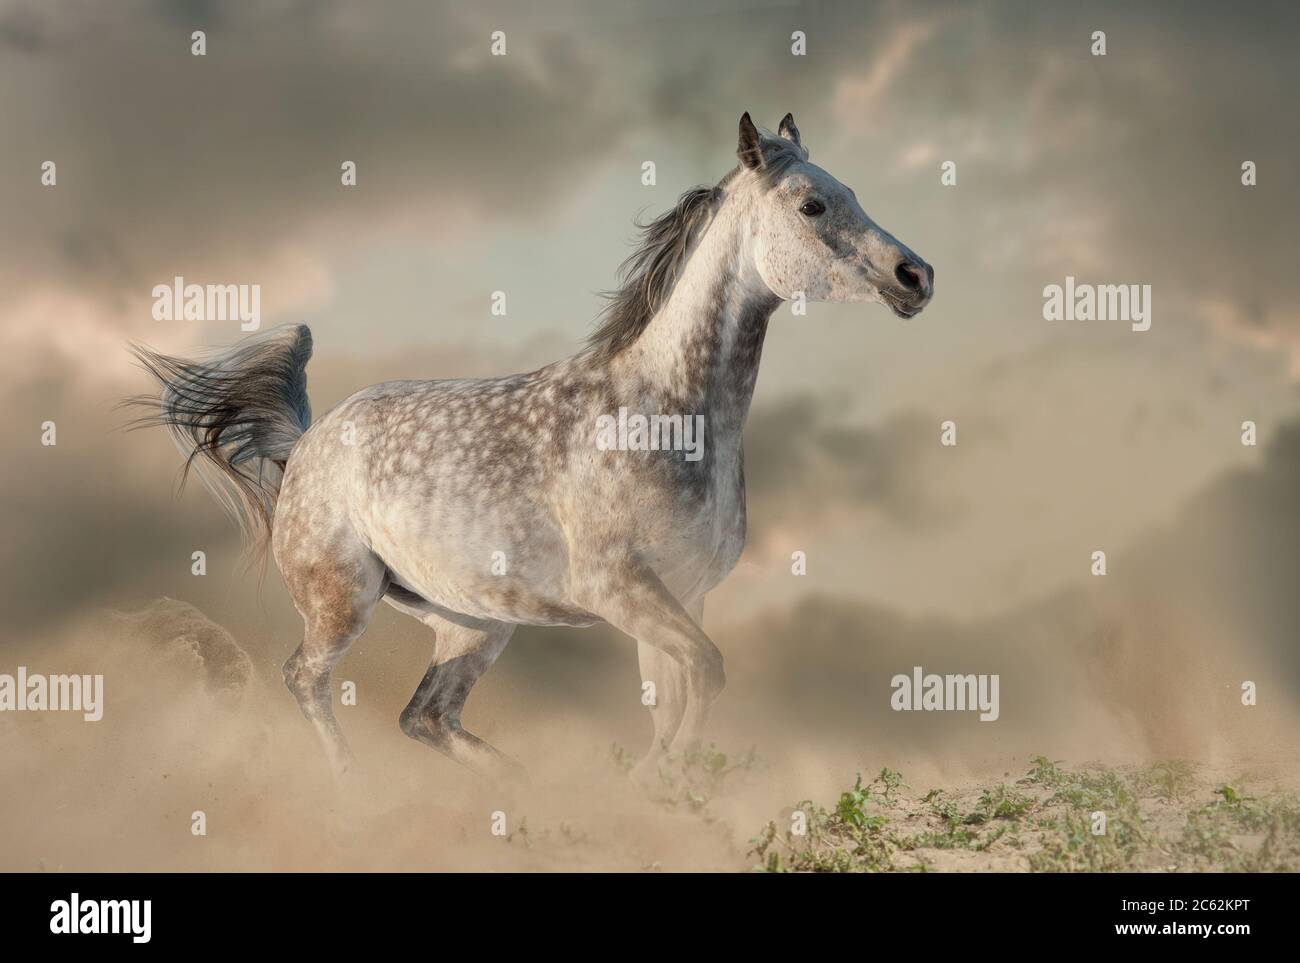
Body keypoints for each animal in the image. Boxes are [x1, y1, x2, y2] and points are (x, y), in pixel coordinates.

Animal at [129, 112, 933, 785]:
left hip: (471, 622)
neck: (663, 413)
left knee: (426, 715)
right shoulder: (621, 589)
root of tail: (306, 441)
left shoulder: (685, 593)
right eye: (811, 205)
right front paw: (653, 790)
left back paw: (530, 794)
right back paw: (355, 793)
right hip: (342, 601)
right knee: (307, 679)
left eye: (852, 192)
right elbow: (704, 676)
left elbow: (675, 699)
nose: (916, 276)